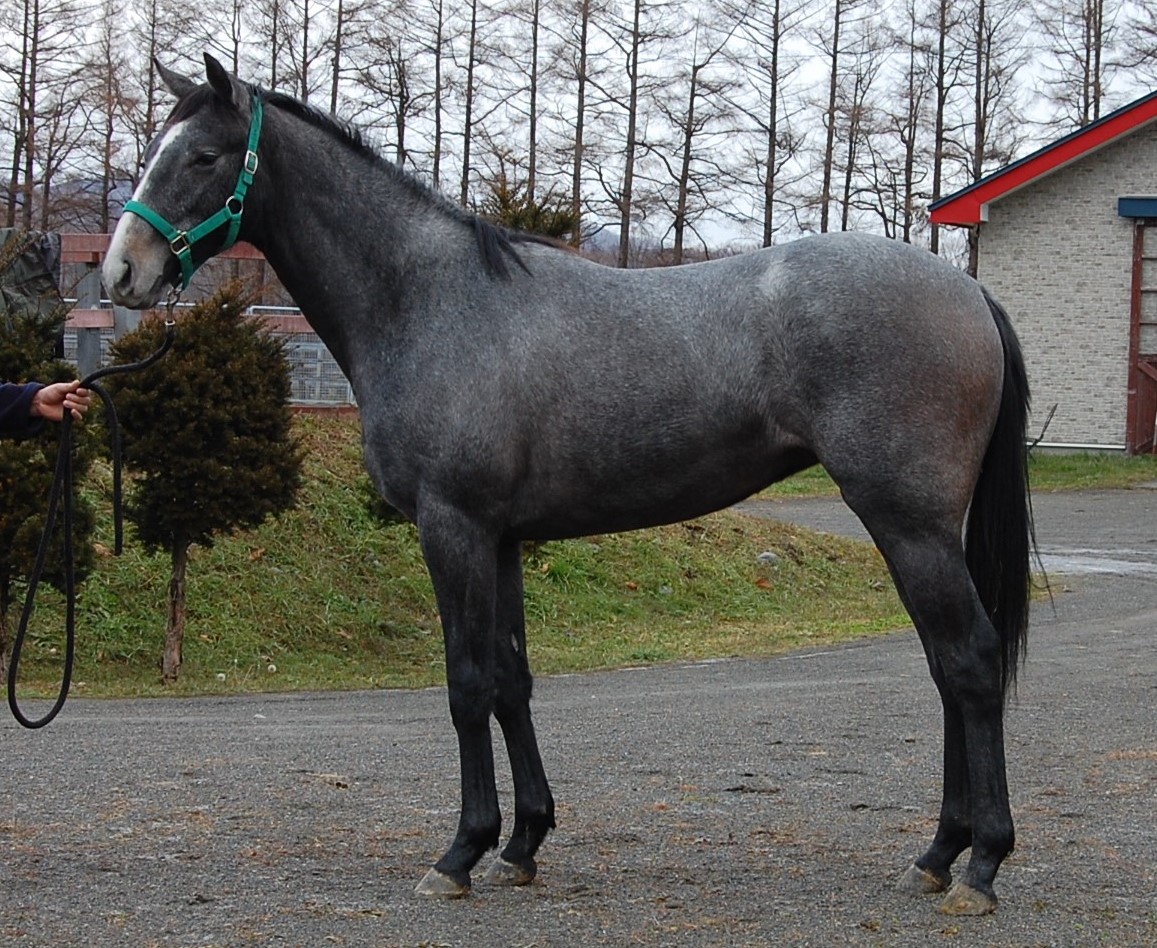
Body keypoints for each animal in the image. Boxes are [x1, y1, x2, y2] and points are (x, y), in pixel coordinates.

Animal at [103, 54, 1033, 917]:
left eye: (204, 156)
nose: (121, 274)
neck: (432, 302)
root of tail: (969, 290)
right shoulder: (503, 539)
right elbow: (511, 681)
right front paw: (521, 843)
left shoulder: (452, 528)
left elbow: (466, 683)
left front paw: (459, 853)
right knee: (944, 668)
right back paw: (937, 854)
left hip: (906, 521)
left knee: (968, 662)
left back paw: (979, 866)